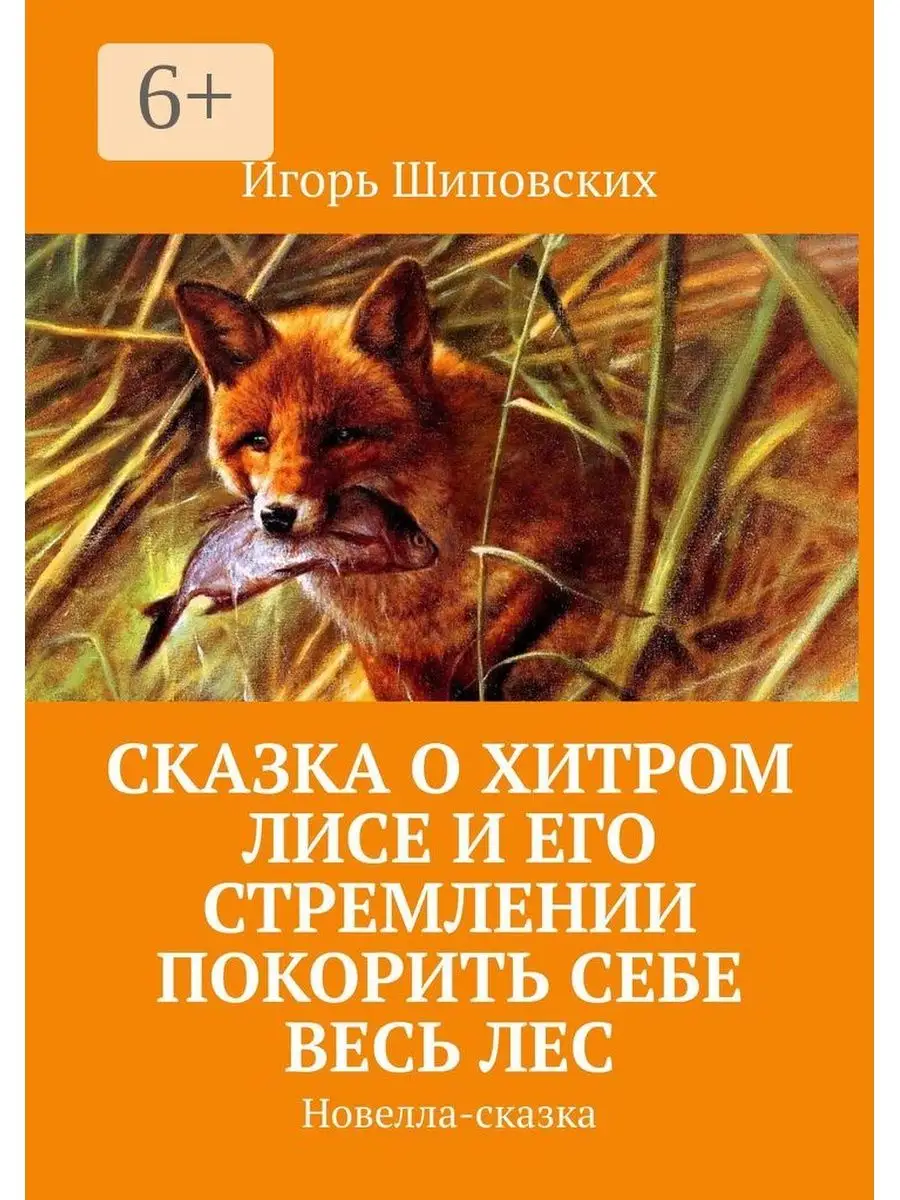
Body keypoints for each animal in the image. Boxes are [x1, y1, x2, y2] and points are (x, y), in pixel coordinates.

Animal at [174, 258, 633, 700]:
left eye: (343, 436)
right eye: (259, 441)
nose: (276, 516)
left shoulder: (558, 551)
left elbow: (496, 639)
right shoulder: (384, 658)